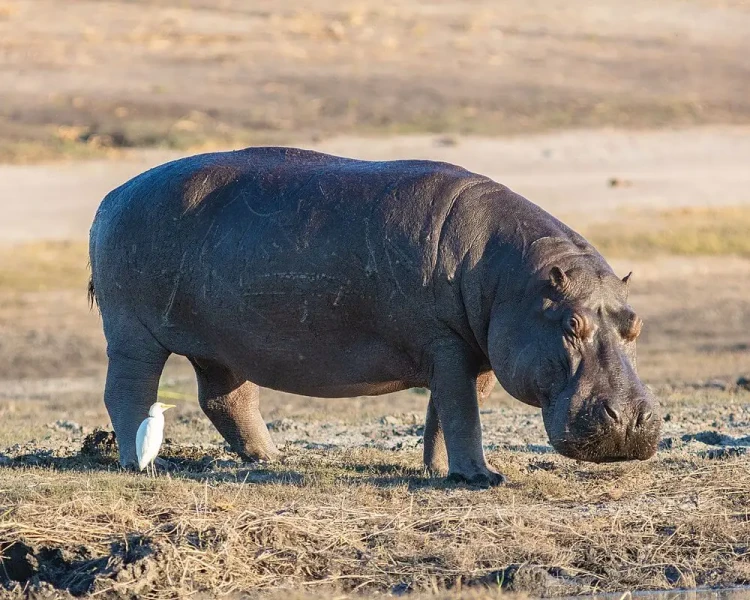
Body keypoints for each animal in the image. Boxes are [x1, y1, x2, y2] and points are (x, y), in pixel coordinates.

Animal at [88, 147, 660, 485]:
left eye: (635, 324)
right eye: (571, 325)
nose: (631, 421)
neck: (514, 279)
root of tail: (111, 196)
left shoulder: (474, 351)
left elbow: (449, 413)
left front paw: (441, 470)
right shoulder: (449, 345)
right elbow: (460, 411)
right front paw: (482, 478)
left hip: (224, 344)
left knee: (225, 398)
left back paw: (271, 458)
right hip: (132, 332)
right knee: (127, 391)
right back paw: (142, 463)